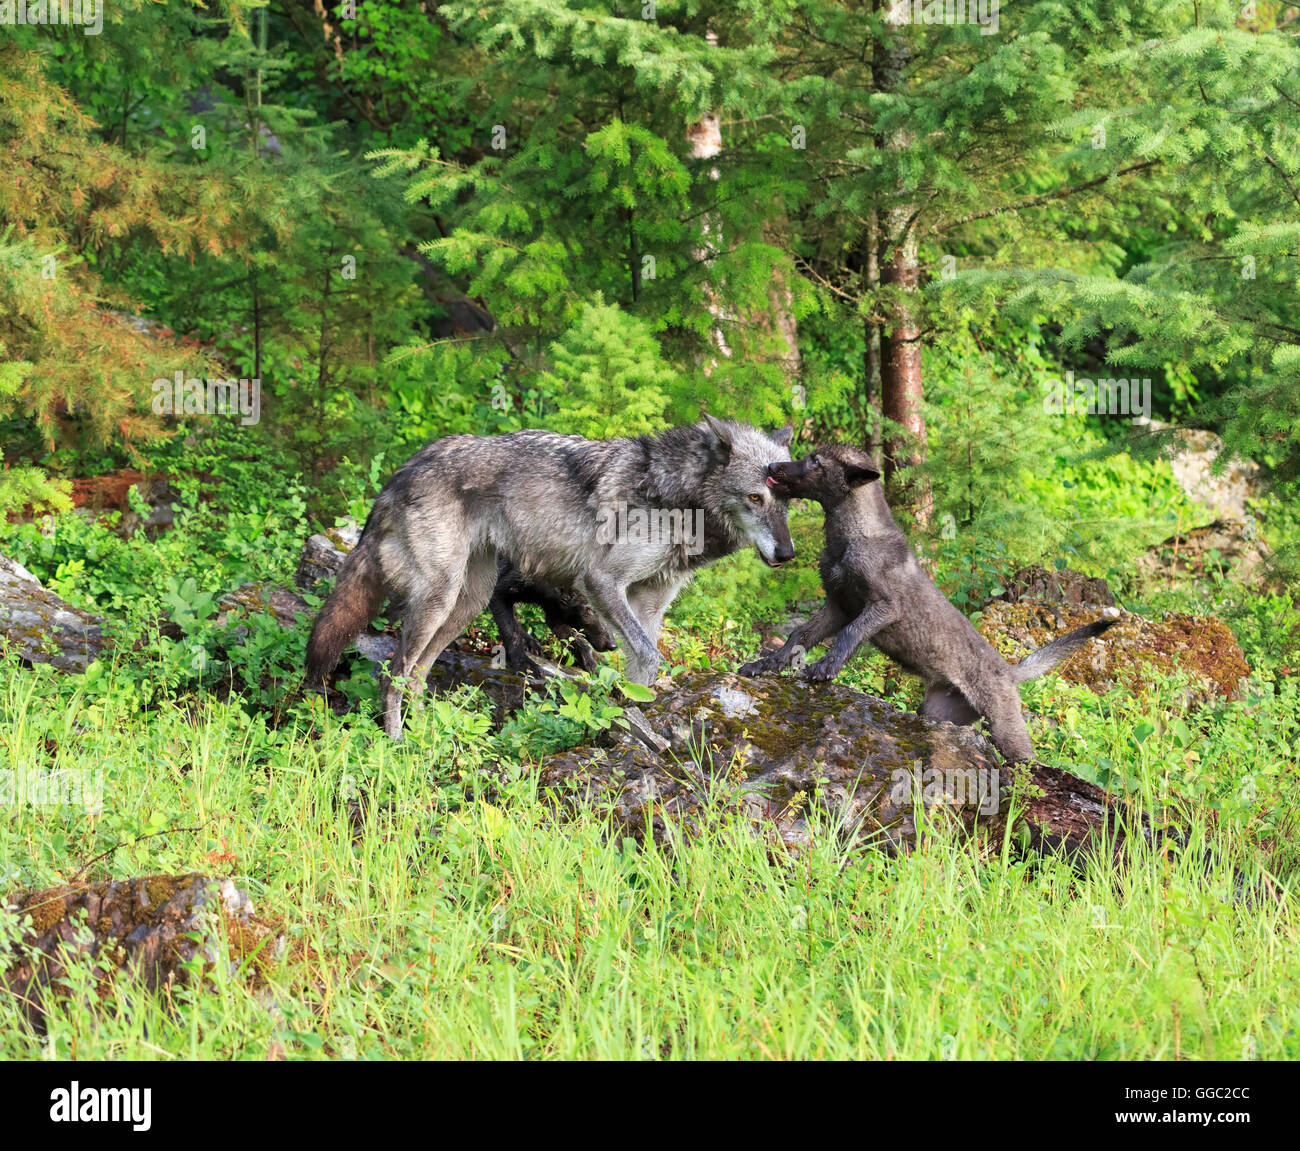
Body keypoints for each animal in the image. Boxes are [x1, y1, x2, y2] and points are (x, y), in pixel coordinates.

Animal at [306, 416, 795, 738]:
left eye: (788, 500)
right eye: (755, 498)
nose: (788, 554)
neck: (677, 497)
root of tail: (404, 469)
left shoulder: (651, 603)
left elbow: (640, 667)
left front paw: (632, 719)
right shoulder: (601, 582)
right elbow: (648, 657)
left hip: (467, 603)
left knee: (416, 677)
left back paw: (427, 738)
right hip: (440, 599)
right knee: (393, 675)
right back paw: (396, 746)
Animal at [739, 443, 1118, 762]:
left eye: (815, 462)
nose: (771, 466)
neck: (855, 534)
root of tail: (1010, 672)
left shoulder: (882, 607)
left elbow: (849, 635)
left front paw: (825, 667)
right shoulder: (837, 605)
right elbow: (797, 637)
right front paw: (766, 665)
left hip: (1005, 727)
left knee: (1029, 762)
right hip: (937, 713)